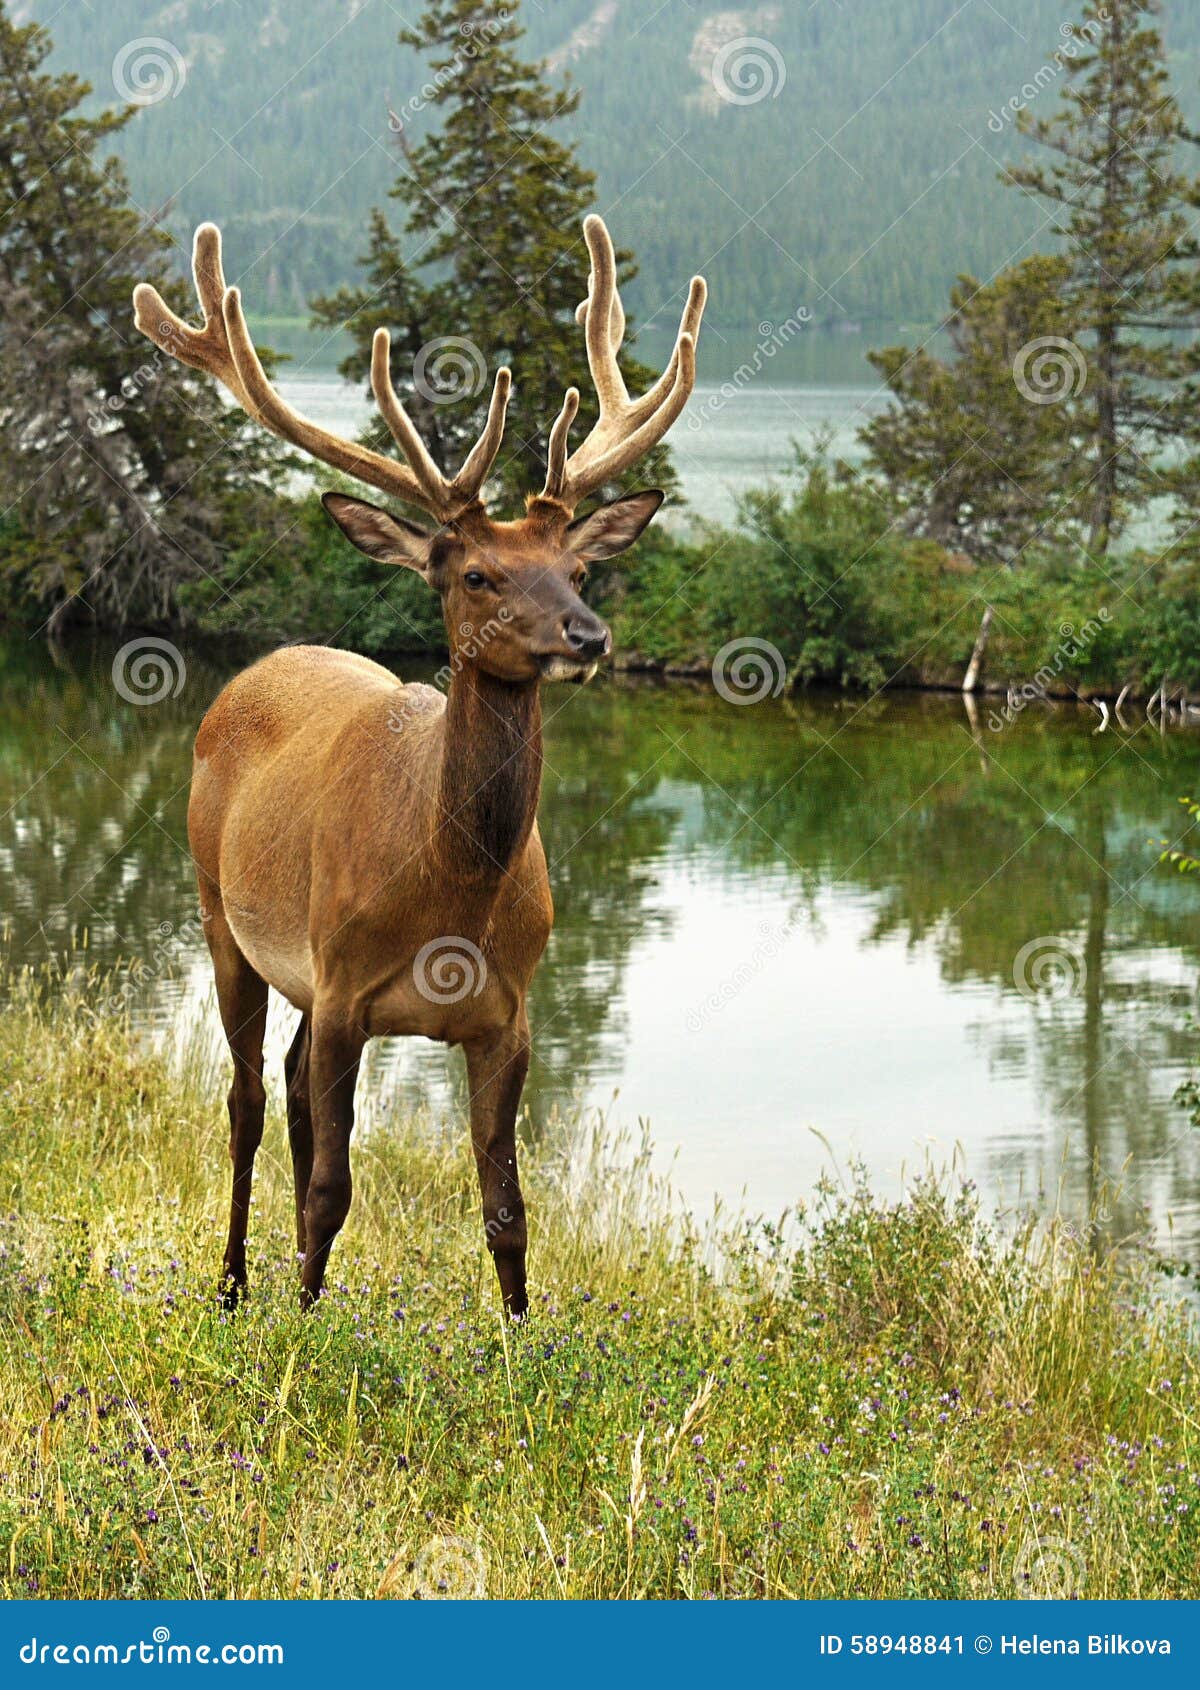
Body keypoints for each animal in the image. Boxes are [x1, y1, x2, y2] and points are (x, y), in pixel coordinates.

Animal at [132, 214, 706, 1316]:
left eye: (578, 567)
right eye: (478, 573)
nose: (588, 635)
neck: (451, 893)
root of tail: (257, 666)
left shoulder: (509, 1014)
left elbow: (508, 1210)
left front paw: (519, 1339)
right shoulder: (346, 984)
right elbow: (330, 1189)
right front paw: (304, 1331)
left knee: (288, 1091)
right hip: (221, 914)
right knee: (247, 1100)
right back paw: (232, 1285)